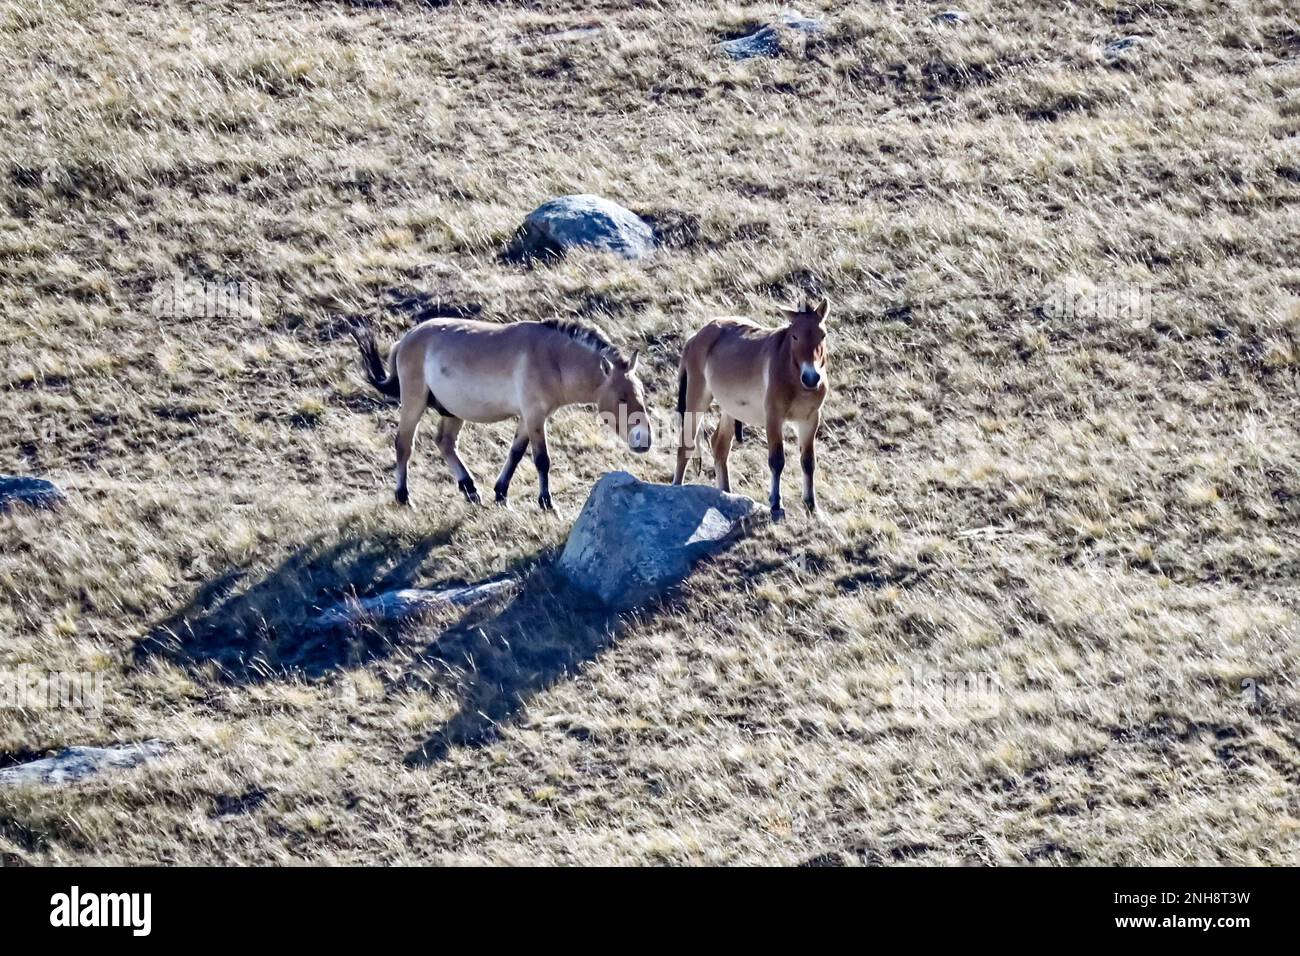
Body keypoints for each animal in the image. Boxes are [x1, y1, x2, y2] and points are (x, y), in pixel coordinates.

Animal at [354, 318, 652, 510]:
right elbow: (541, 460)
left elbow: (516, 453)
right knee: (404, 444)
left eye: (641, 392)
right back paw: (404, 497)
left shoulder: (527, 418)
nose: (644, 440)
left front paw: (500, 494)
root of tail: (405, 340)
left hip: (452, 411)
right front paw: (546, 503)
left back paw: (470, 490)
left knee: (445, 443)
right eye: (622, 397)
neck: (553, 359)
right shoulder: (534, 416)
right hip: (414, 402)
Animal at [672, 298, 830, 520]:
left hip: (730, 410)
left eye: (822, 335)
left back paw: (726, 494)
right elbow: (777, 460)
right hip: (696, 400)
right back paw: (676, 489)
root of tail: (695, 337)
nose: (811, 377)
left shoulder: (809, 420)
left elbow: (808, 461)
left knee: (719, 445)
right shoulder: (773, 417)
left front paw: (811, 506)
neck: (794, 379)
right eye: (795, 336)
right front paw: (776, 505)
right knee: (685, 446)